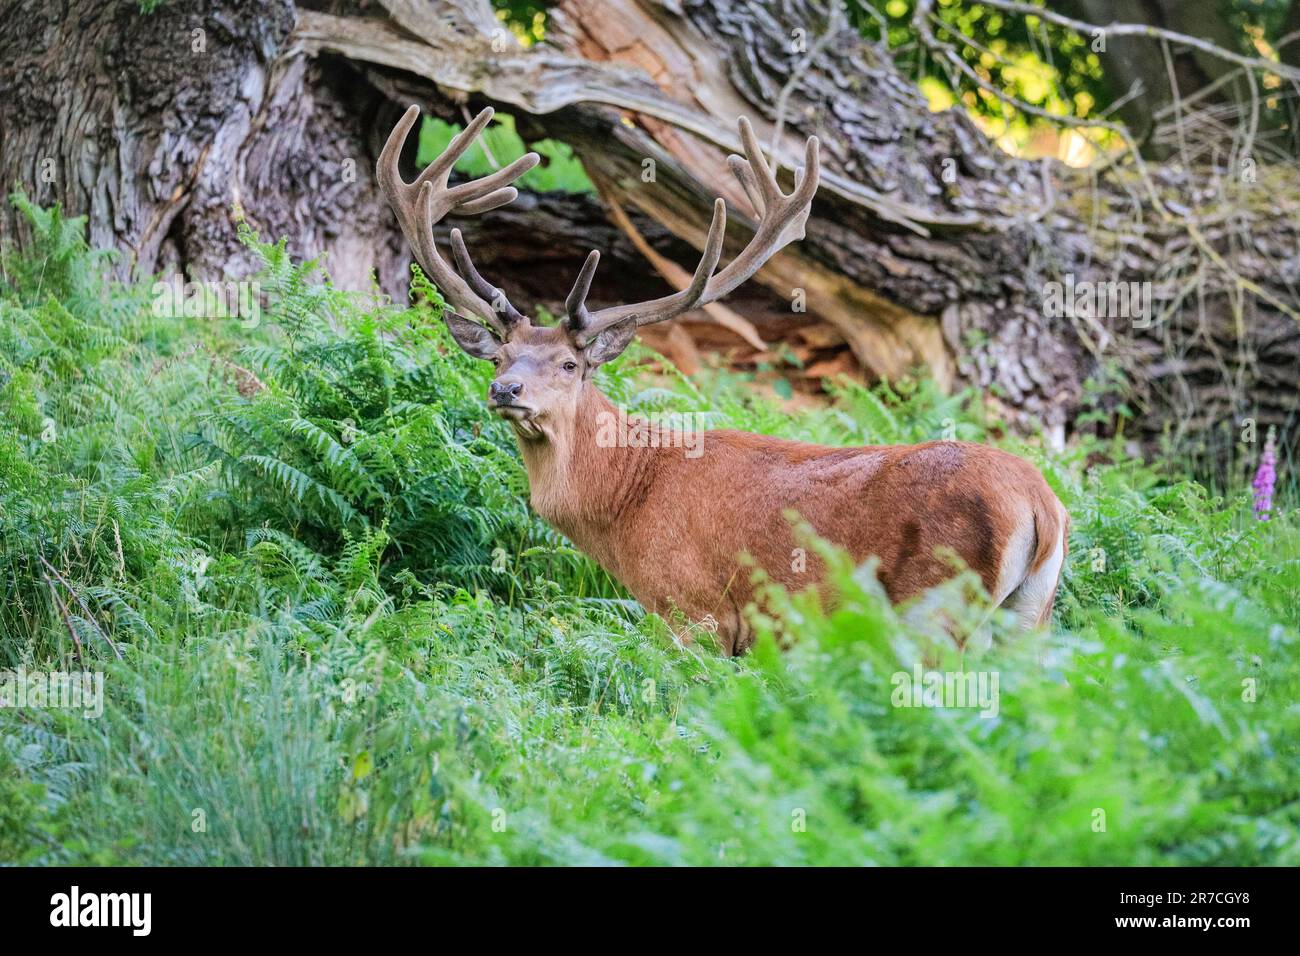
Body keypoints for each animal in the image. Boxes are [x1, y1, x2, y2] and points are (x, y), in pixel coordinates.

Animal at [378, 105, 1069, 656]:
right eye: (500, 358)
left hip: (934, 608)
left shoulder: (694, 608)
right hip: (1029, 618)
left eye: (571, 365)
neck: (626, 499)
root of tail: (1043, 507)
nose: (506, 392)